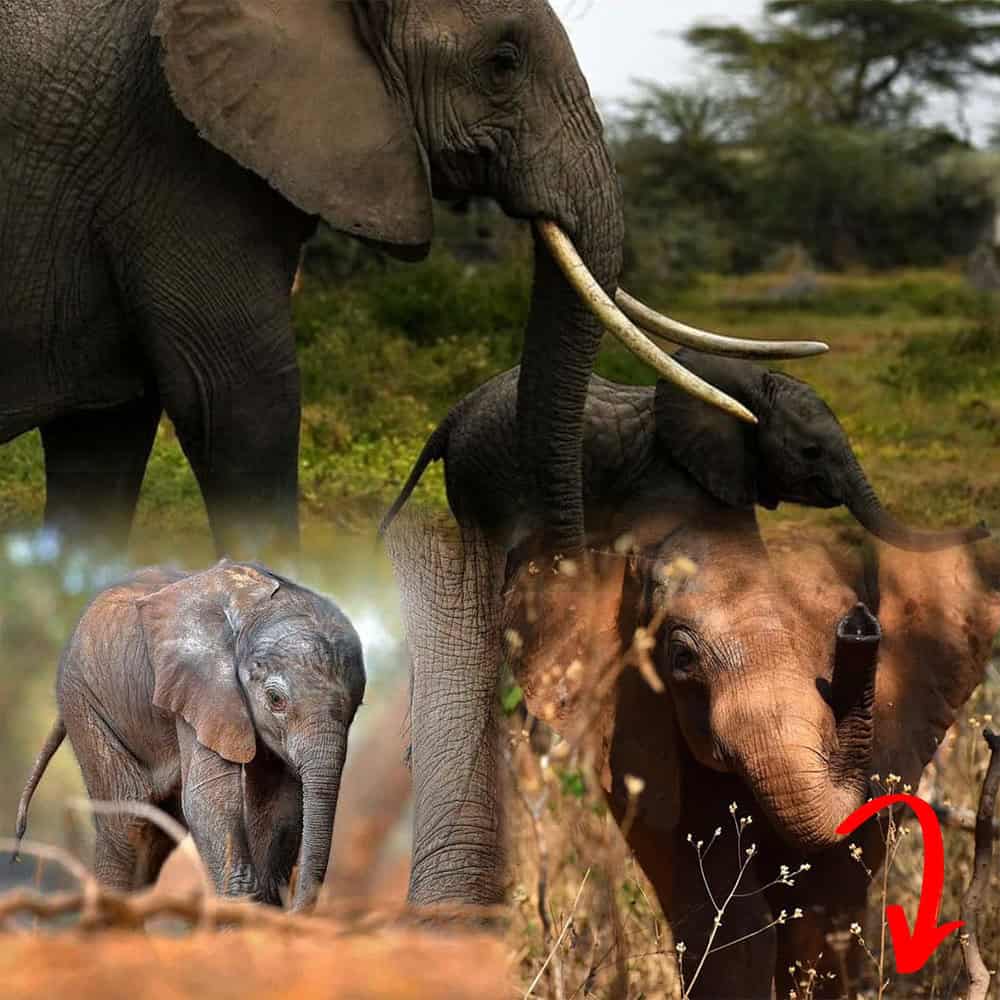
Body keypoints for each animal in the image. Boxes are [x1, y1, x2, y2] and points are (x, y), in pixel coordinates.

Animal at [14, 560, 365, 911]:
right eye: (275, 699)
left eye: (357, 706)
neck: (255, 612)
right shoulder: (199, 686)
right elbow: (206, 798)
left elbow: (279, 806)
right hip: (83, 701)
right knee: (127, 819)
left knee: (157, 830)